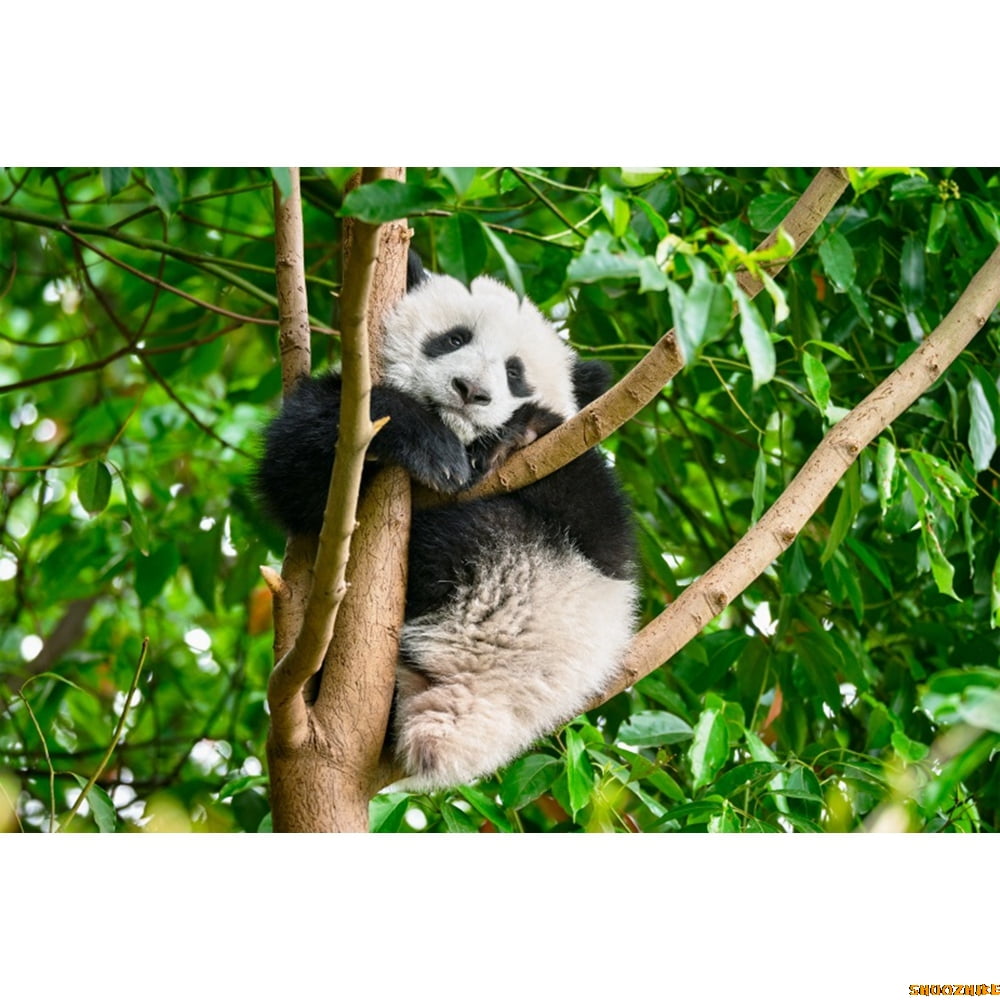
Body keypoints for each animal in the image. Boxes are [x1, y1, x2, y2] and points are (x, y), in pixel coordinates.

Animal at [255, 254, 638, 791]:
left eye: (515, 373)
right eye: (454, 339)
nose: (471, 391)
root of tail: (455, 715)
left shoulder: (585, 472)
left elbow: (601, 533)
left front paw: (515, 435)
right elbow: (295, 472)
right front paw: (427, 442)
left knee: (476, 534)